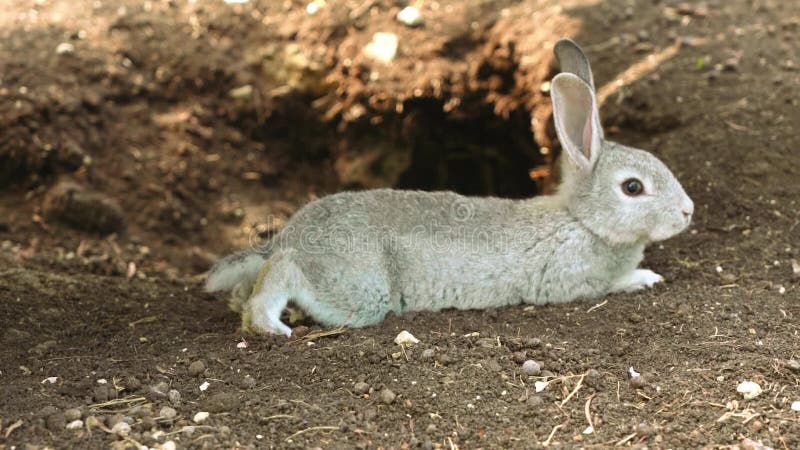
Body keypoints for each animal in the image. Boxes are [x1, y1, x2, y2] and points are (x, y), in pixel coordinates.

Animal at [204, 38, 694, 337]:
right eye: (633, 187)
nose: (688, 211)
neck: (582, 221)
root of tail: (291, 235)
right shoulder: (570, 278)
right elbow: (608, 283)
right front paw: (644, 278)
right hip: (361, 290)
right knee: (286, 270)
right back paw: (269, 322)